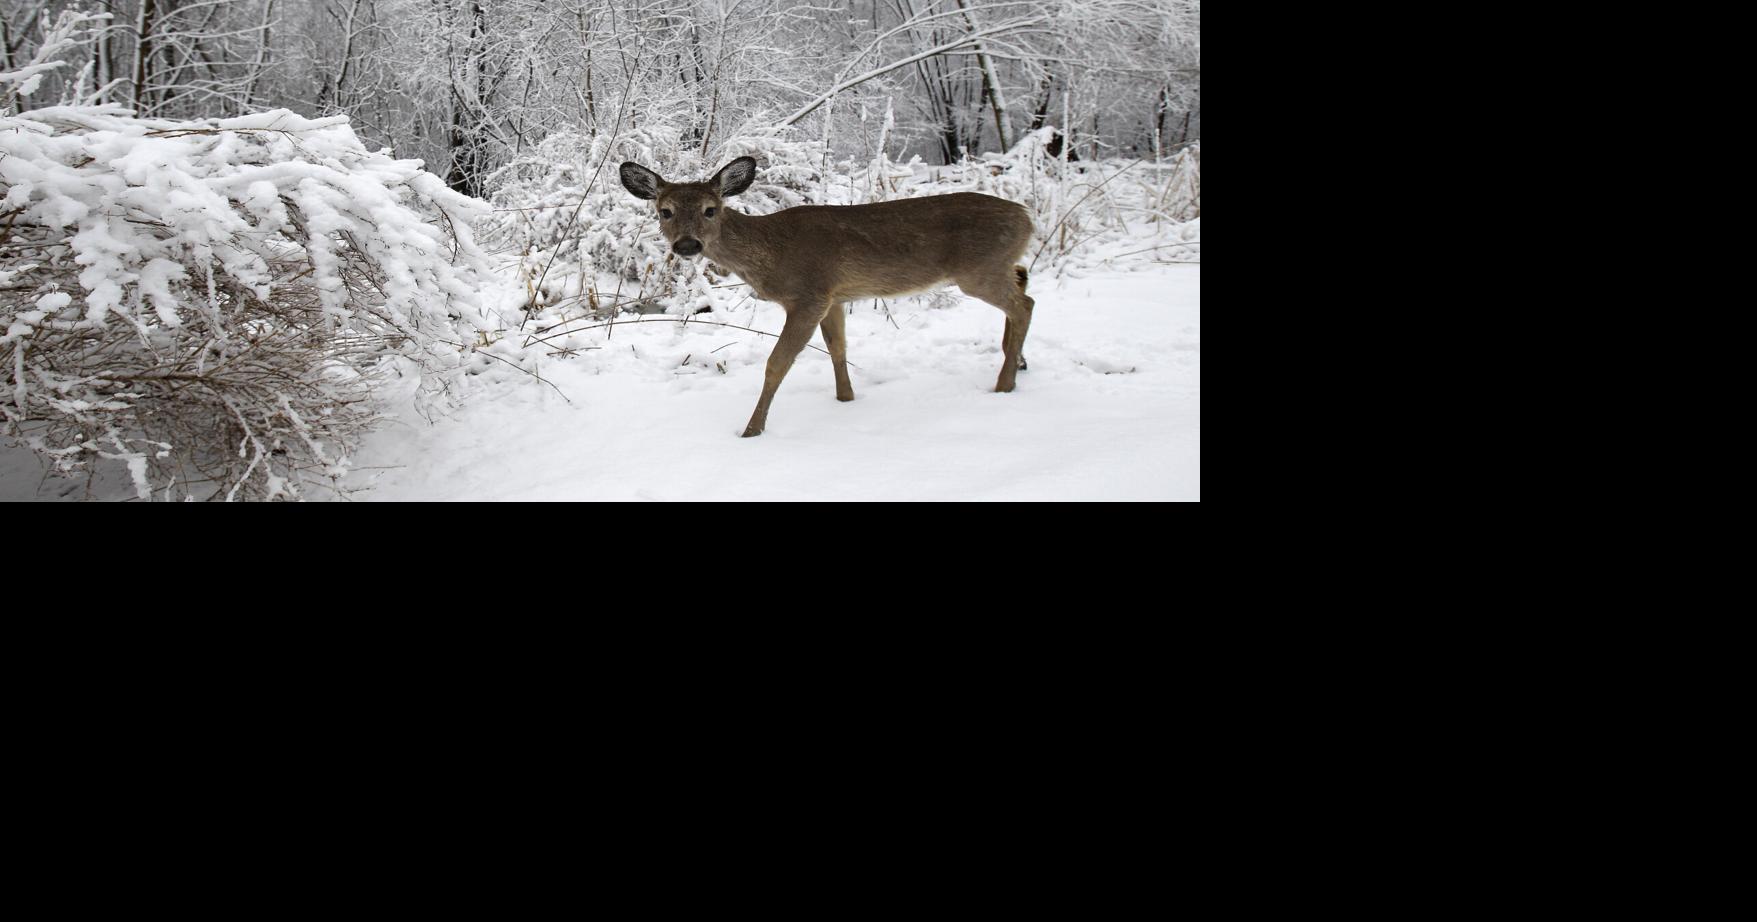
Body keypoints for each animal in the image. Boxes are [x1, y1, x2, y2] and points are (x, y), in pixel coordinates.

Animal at [619, 156, 1035, 437]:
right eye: (665, 211)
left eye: (710, 209)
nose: (687, 245)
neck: (773, 251)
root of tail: (1028, 217)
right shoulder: (834, 296)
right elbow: (838, 348)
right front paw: (846, 399)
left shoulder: (809, 294)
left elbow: (776, 365)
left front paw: (751, 430)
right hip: (994, 267)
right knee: (1023, 280)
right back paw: (1017, 362)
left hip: (979, 269)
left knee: (1024, 305)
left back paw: (1004, 384)